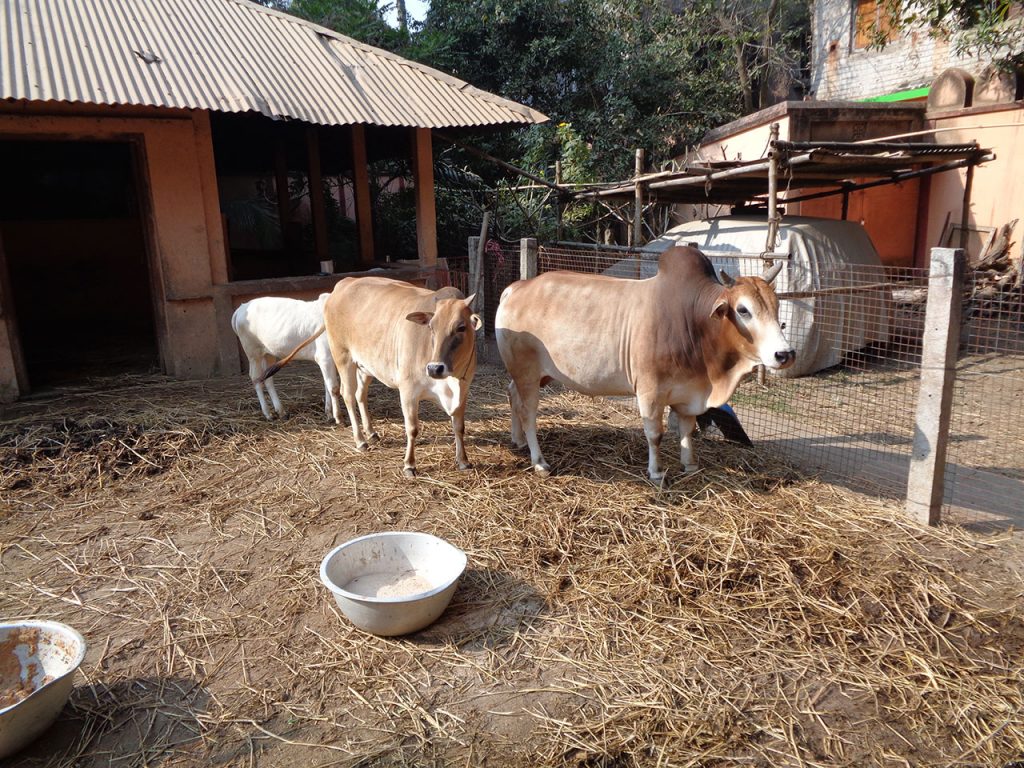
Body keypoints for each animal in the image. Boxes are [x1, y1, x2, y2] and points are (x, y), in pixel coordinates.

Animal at [260, 278, 481, 477]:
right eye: (431, 328)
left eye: (461, 327)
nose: (435, 368)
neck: (451, 383)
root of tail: (342, 284)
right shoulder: (408, 391)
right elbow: (412, 429)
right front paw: (409, 465)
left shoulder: (464, 390)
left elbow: (459, 427)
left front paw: (463, 460)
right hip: (343, 358)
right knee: (347, 395)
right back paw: (360, 440)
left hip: (365, 367)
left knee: (361, 395)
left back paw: (371, 432)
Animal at [494, 246, 794, 481]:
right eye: (743, 310)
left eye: (776, 306)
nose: (784, 354)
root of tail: (516, 287)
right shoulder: (650, 391)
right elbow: (655, 434)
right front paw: (656, 471)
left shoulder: (687, 394)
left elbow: (687, 431)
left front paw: (690, 465)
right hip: (527, 373)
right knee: (528, 412)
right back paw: (539, 461)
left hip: (534, 375)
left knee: (512, 395)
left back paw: (517, 440)